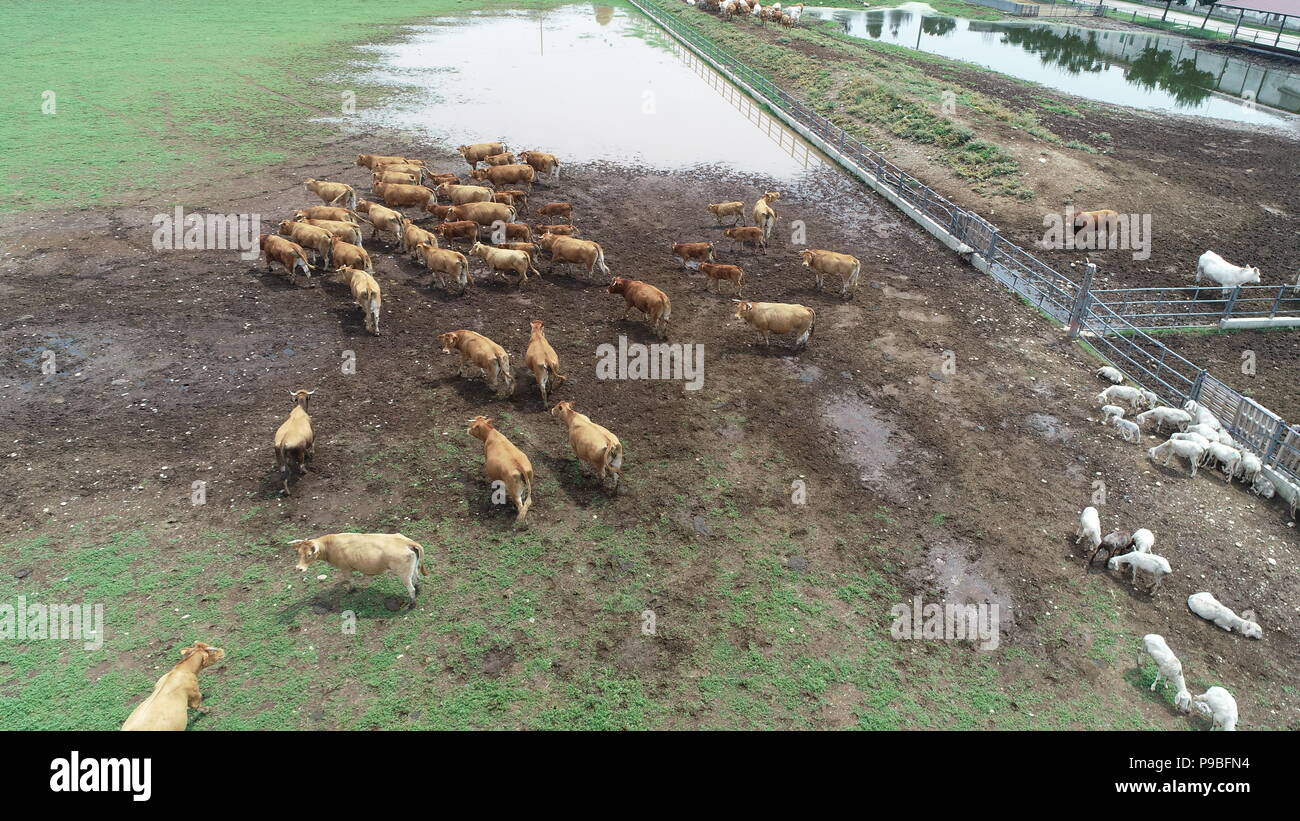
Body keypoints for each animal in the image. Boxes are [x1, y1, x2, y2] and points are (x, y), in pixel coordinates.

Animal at [289, 532, 427, 606]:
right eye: (298, 553)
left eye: (309, 555)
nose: (298, 568)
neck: (329, 545)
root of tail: (407, 541)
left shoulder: (345, 567)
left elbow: (350, 579)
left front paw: (351, 589)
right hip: (412, 569)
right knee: (416, 578)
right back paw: (418, 590)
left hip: (403, 574)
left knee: (411, 588)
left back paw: (412, 603)